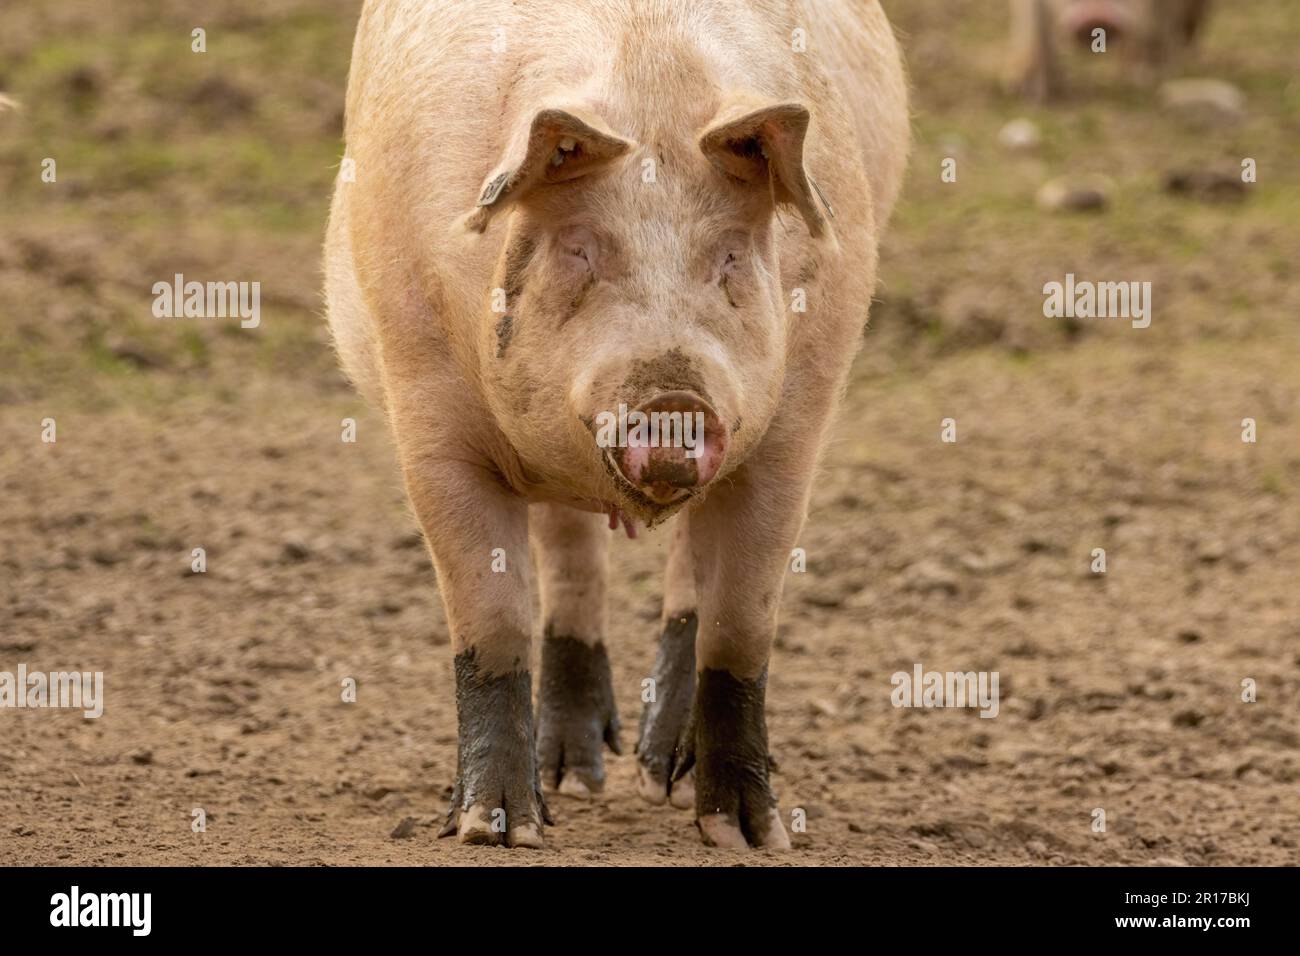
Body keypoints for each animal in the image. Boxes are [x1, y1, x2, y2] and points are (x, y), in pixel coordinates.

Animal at [324, 0, 909, 849]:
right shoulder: (426, 409)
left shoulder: (797, 423)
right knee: (570, 552)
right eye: (579, 250)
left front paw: (751, 836)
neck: (649, 83)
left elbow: (742, 625)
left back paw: (660, 774)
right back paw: (576, 776)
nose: (674, 404)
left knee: (687, 575)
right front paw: (498, 830)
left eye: (731, 256)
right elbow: (491, 618)